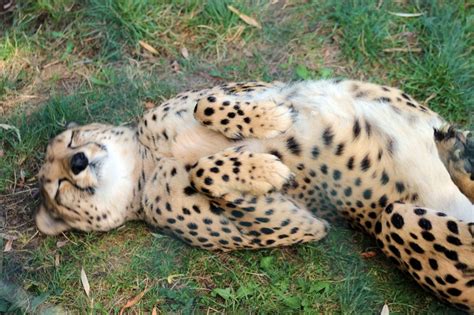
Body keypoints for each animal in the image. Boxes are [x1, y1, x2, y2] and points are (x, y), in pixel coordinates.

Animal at [35, 80, 472, 312]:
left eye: (73, 139)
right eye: (56, 187)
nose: (77, 161)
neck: (144, 163)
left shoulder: (252, 91)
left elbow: (208, 104)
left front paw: (269, 120)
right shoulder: (300, 222)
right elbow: (206, 171)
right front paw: (264, 168)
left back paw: (457, 153)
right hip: (394, 219)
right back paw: (456, 156)